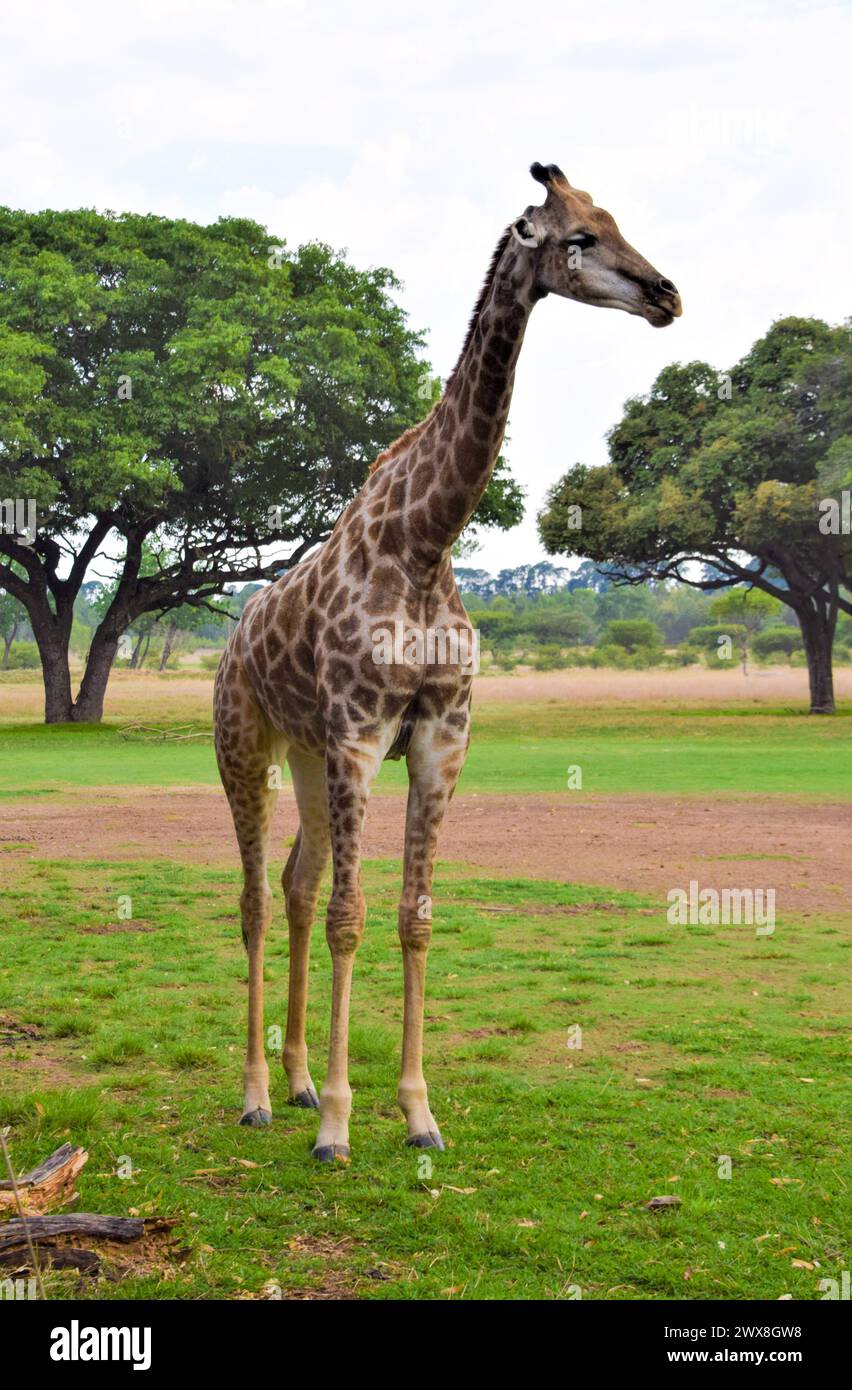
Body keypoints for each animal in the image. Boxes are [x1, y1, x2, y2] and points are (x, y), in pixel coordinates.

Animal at [214, 162, 682, 1161]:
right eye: (577, 237)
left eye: (616, 218)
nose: (666, 294)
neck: (428, 541)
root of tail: (233, 635)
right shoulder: (360, 735)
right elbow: (354, 917)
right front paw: (341, 1127)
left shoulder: (440, 736)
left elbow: (413, 917)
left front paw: (417, 1114)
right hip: (245, 744)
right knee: (258, 900)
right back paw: (262, 1095)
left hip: (306, 756)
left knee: (296, 885)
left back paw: (299, 1082)